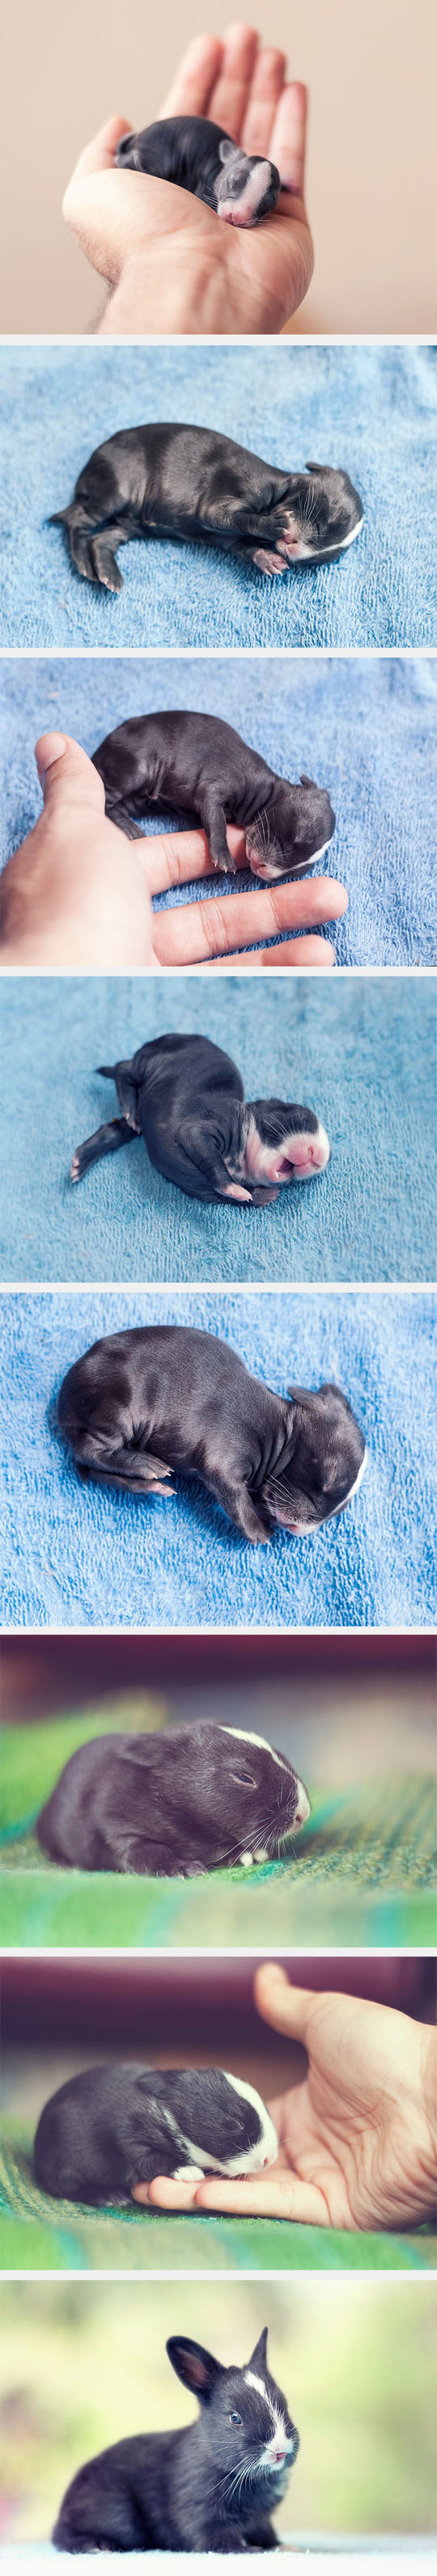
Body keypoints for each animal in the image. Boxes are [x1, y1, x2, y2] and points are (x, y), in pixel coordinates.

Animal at [34, 2063, 278, 2205]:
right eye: (235, 2122)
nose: (269, 2158)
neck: (173, 2109)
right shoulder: (130, 2135)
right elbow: (150, 2159)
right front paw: (187, 2171)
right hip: (64, 2159)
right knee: (65, 2188)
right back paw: (109, 2197)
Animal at [36, 1719, 310, 1876]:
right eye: (243, 1777)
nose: (303, 1814)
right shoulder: (120, 1831)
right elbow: (150, 1851)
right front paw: (183, 1869)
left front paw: (246, 1854)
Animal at [53, 2324, 299, 2552]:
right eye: (235, 2418)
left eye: (285, 2406)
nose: (279, 2449)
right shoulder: (202, 2513)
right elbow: (217, 2540)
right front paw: (245, 2550)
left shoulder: (261, 2520)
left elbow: (264, 2533)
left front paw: (281, 2547)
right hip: (116, 2514)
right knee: (63, 2537)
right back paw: (96, 2545)